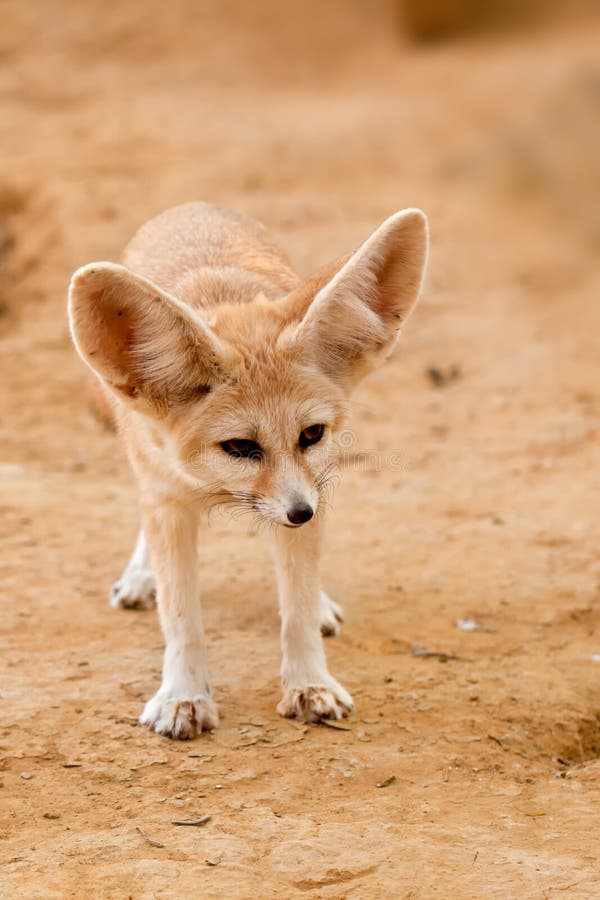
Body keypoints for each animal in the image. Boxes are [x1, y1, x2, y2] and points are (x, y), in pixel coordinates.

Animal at [68, 202, 428, 739]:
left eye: (311, 434)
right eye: (239, 446)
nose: (301, 514)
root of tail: (192, 206)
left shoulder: (311, 489)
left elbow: (296, 609)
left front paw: (309, 684)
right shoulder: (168, 500)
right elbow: (181, 616)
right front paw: (184, 696)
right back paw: (140, 574)